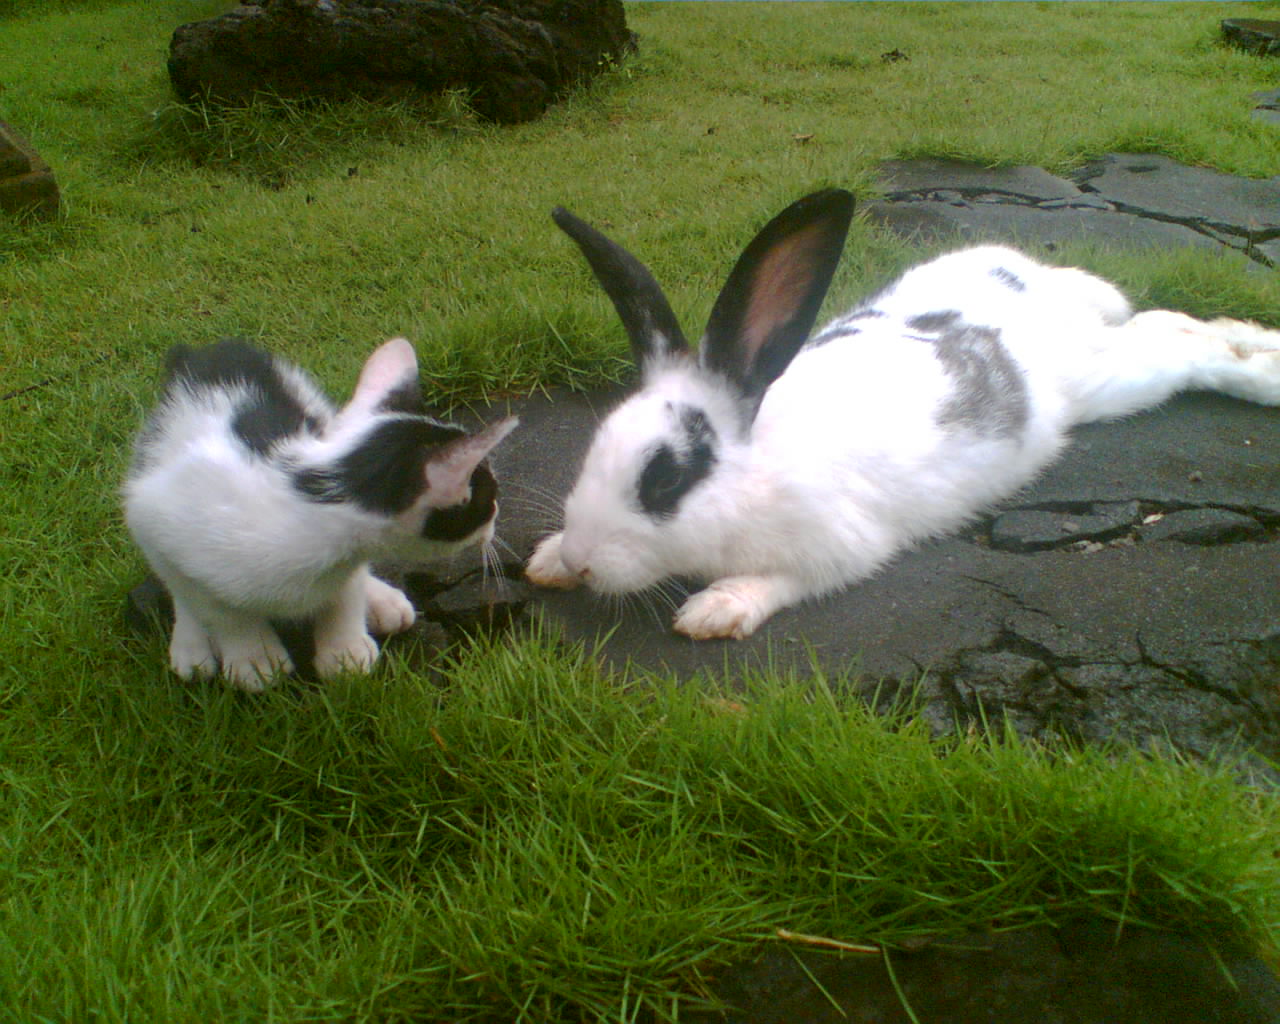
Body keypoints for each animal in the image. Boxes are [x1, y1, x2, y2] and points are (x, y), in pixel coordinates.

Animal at [124, 336, 517, 689]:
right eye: (488, 499)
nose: (498, 513)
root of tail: (205, 352)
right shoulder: (155, 510)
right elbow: (215, 607)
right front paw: (253, 655)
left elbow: (346, 588)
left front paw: (343, 651)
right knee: (176, 583)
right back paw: (191, 644)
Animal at [525, 188, 1280, 639]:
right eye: (595, 450)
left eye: (666, 480)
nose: (584, 560)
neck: (753, 472)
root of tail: (1039, 286)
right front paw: (546, 561)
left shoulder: (840, 545)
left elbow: (786, 580)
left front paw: (713, 611)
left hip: (1112, 380)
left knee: (1185, 343)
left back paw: (1261, 366)